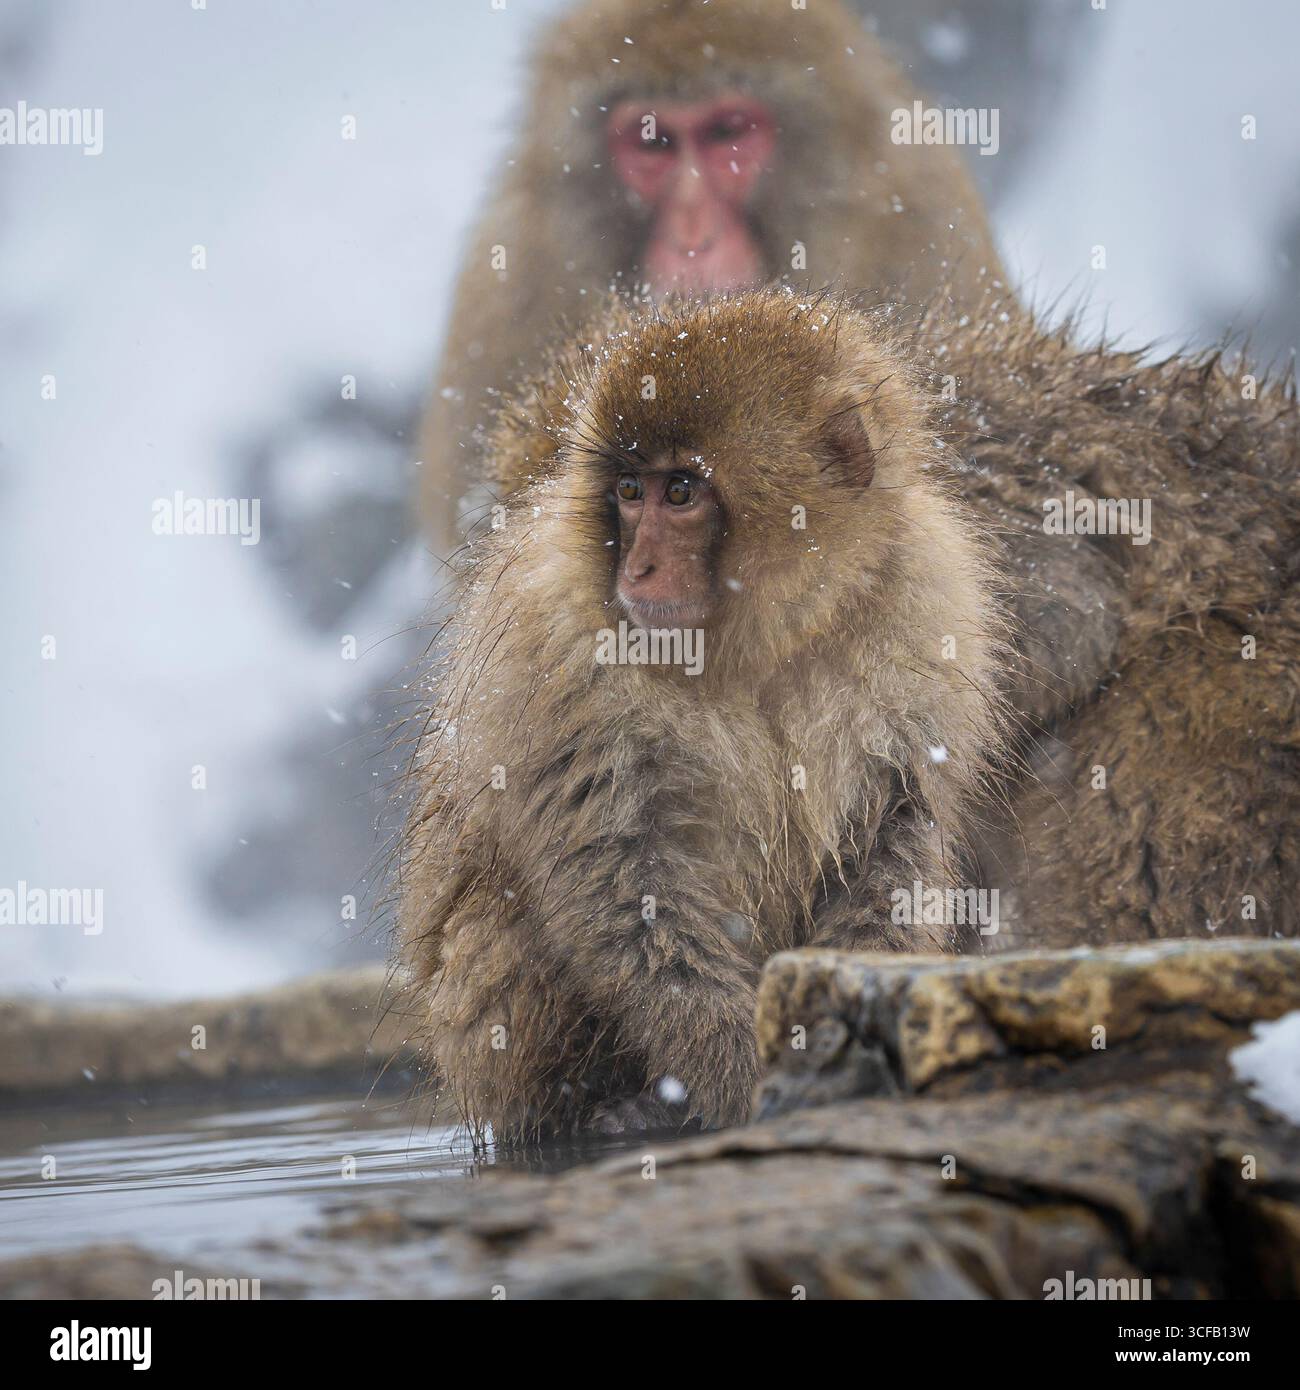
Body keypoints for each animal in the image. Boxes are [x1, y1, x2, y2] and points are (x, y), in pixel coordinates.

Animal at [397, 289, 1010, 1141]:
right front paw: (739, 1081)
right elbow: (623, 878)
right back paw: (604, 1106)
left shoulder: (929, 603)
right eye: (629, 492)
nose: (639, 567)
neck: (763, 638)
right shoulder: (555, 646)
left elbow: (889, 836)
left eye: (681, 492)